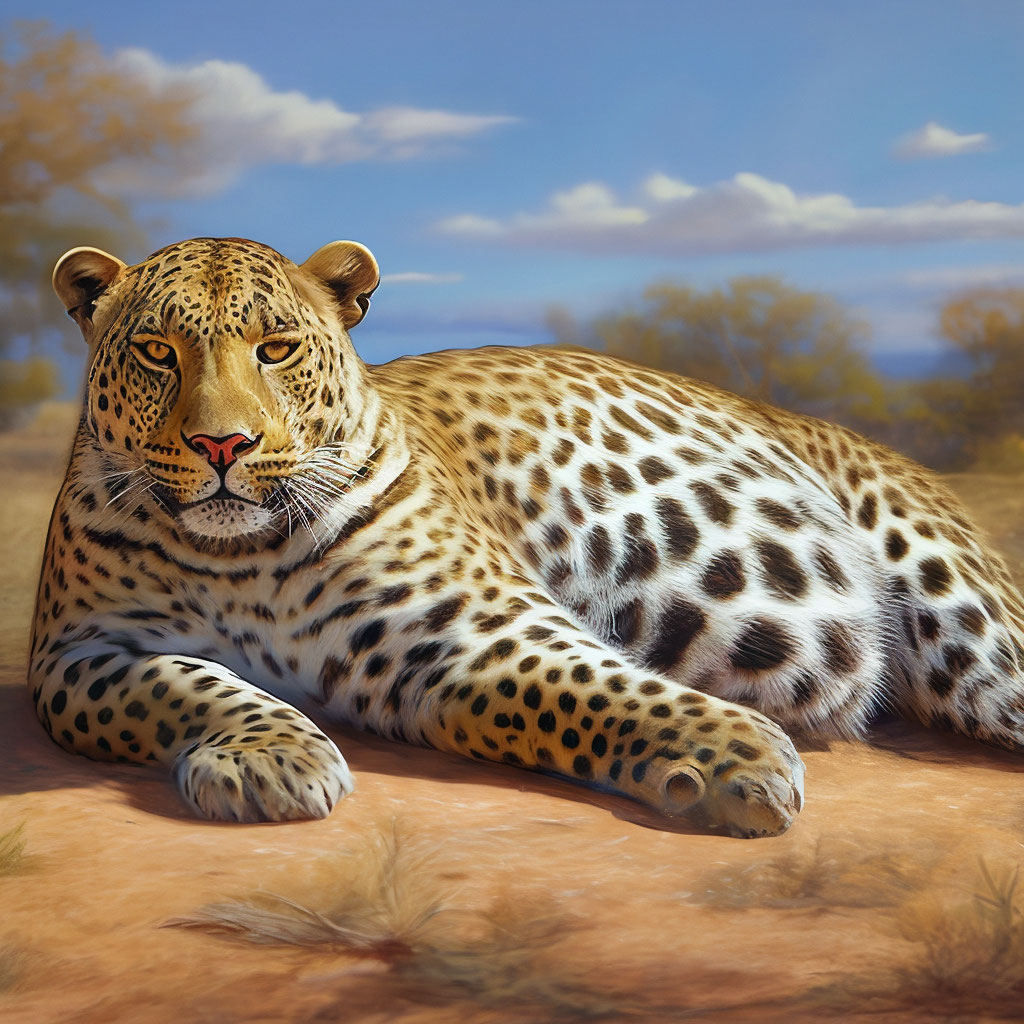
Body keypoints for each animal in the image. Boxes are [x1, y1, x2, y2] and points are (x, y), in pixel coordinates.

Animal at [28, 235, 1024, 839]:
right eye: (158, 353)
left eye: (276, 349)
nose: (223, 445)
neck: (240, 557)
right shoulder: (78, 656)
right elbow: (182, 687)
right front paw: (269, 755)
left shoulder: (470, 630)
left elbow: (595, 687)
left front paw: (731, 756)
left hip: (974, 626)